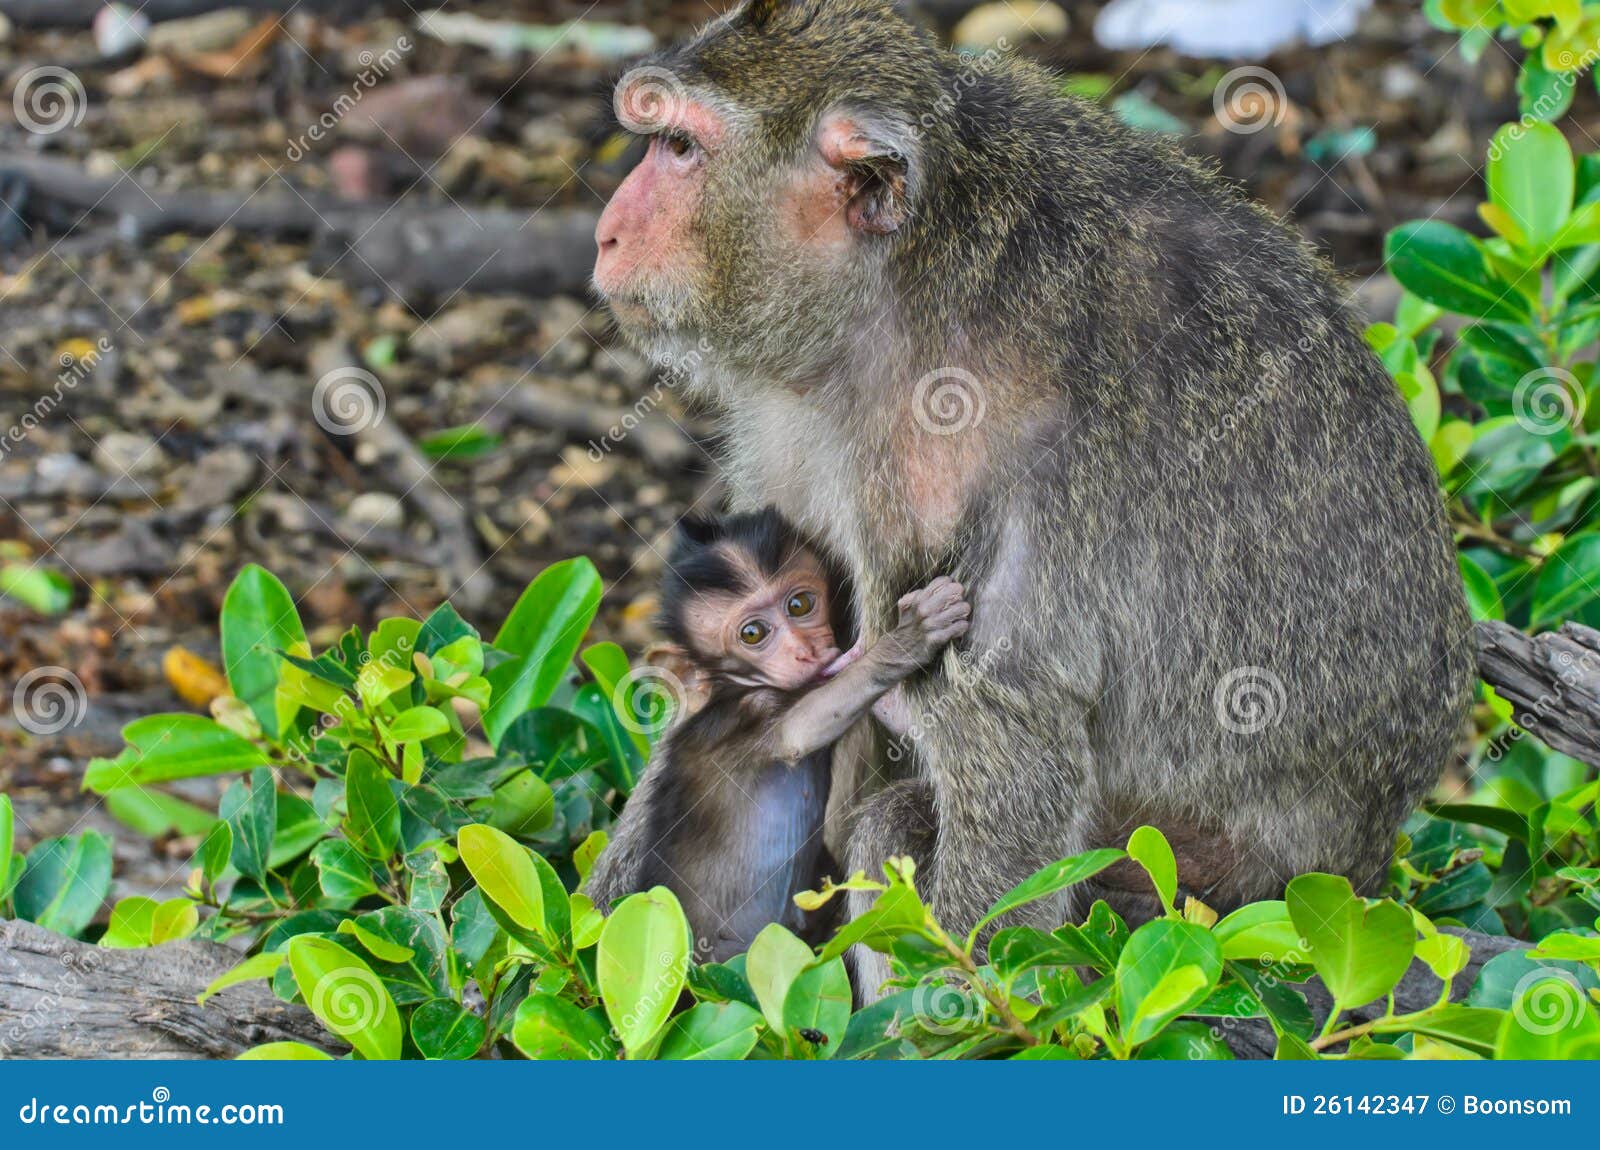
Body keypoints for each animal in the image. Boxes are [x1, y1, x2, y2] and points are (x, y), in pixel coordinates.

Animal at [582, 509, 970, 962]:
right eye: (753, 634)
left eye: (799, 605)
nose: (805, 649)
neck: (736, 686)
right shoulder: (745, 716)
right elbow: (801, 729)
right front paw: (910, 636)